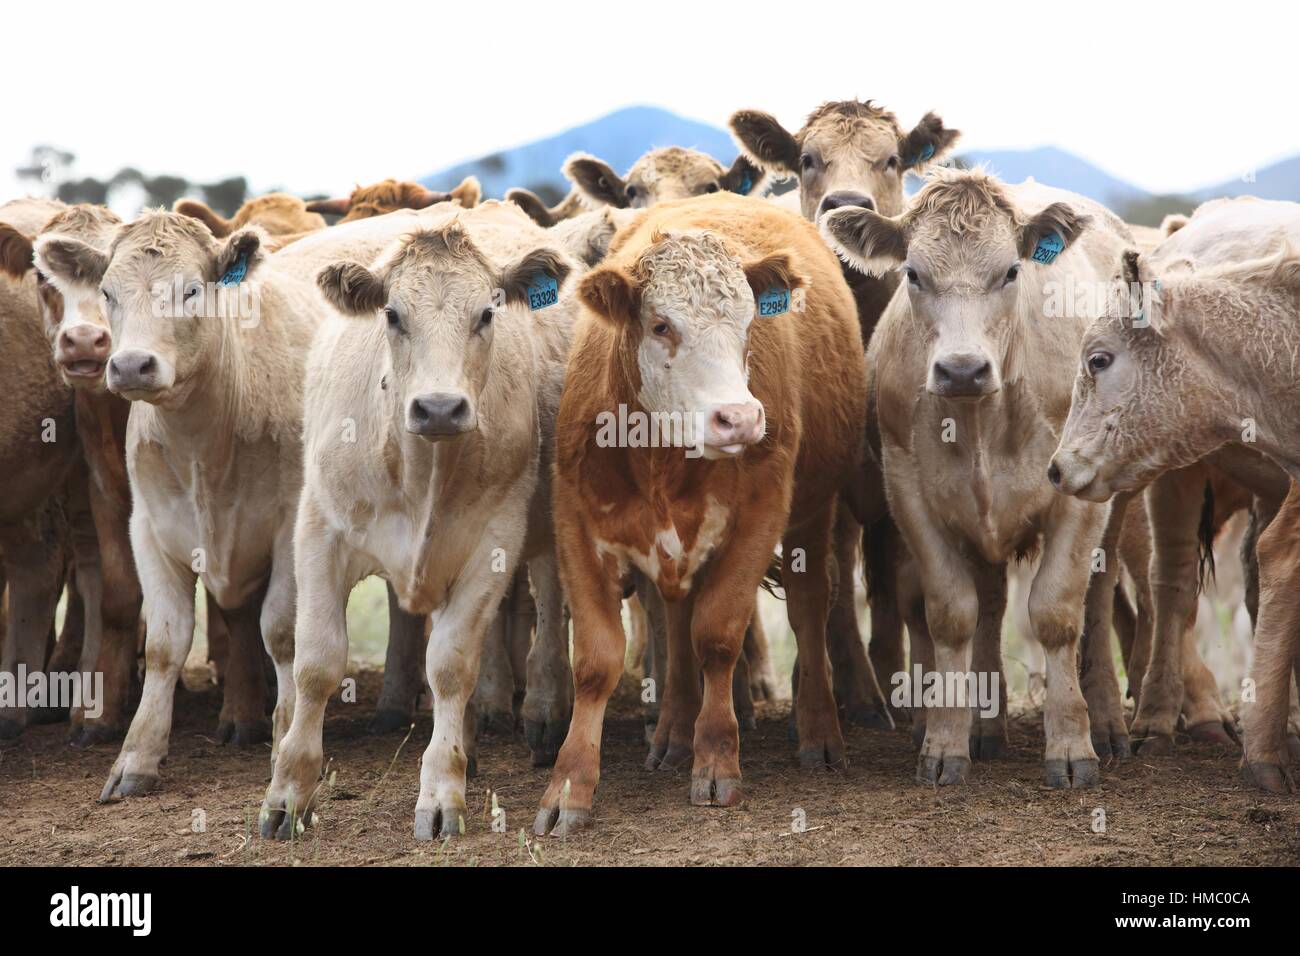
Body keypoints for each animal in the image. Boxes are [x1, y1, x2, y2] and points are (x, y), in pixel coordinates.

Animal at [34, 210, 322, 798]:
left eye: (190, 290)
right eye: (107, 292)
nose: (130, 365)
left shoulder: (289, 529)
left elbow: (282, 632)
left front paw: (285, 738)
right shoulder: (149, 529)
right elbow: (167, 642)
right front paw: (135, 757)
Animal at [259, 201, 579, 839]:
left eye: (486, 313)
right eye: (392, 314)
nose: (438, 407)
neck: (420, 465)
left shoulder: (493, 543)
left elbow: (451, 665)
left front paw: (441, 793)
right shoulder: (319, 533)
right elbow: (316, 663)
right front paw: (287, 792)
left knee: (549, 600)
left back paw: (543, 711)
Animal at [533, 191, 867, 835]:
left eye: (748, 325)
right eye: (662, 325)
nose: (739, 418)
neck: (660, 457)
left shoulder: (760, 516)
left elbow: (716, 635)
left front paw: (716, 761)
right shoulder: (575, 524)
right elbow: (598, 660)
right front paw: (568, 787)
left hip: (812, 517)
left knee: (809, 610)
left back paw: (819, 732)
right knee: (675, 614)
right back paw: (672, 732)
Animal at [730, 99, 961, 729]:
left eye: (892, 160)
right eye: (808, 159)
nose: (846, 203)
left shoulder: (892, 480)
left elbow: (894, 585)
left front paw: (897, 684)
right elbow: (832, 585)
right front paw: (853, 690)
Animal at [821, 167, 1133, 787]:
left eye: (1011, 271)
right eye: (913, 274)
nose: (962, 369)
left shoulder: (1078, 501)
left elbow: (1058, 613)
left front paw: (1071, 745)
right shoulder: (909, 494)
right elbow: (953, 615)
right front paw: (946, 741)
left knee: (1099, 596)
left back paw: (1107, 720)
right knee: (989, 603)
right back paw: (985, 725)